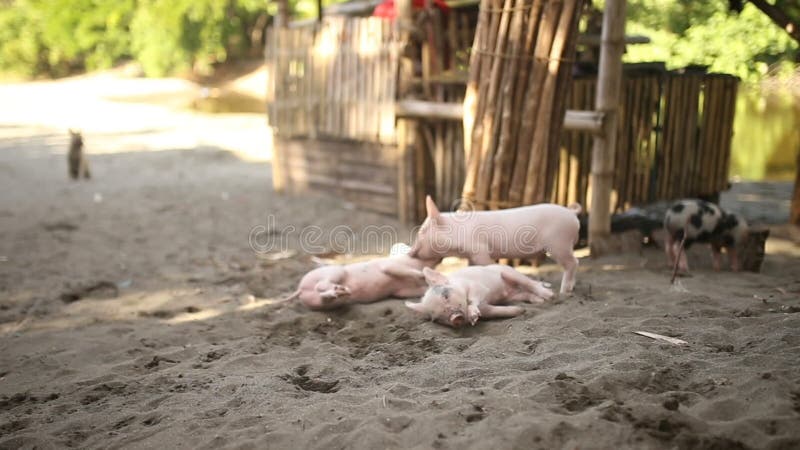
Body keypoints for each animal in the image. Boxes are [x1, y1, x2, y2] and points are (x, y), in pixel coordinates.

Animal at [285, 253, 441, 310]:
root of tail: (300, 288)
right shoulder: (389, 265)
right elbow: (402, 270)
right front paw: (423, 275)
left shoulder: (401, 291)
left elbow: (412, 291)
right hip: (335, 271)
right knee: (321, 285)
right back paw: (339, 290)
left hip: (318, 303)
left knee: (324, 297)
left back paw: (341, 292)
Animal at [405, 265, 554, 327]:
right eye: (436, 318)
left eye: (445, 295)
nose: (454, 318)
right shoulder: (487, 308)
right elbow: (496, 312)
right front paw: (520, 311)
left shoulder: (478, 287)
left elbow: (472, 297)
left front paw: (473, 315)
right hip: (514, 296)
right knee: (525, 293)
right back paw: (538, 300)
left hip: (510, 272)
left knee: (530, 283)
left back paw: (549, 296)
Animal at [409, 196, 581, 293]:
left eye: (422, 231)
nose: (410, 253)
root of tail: (571, 213)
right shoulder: (472, 255)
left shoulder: (480, 250)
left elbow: (486, 264)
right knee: (575, 261)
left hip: (559, 243)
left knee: (572, 263)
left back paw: (564, 291)